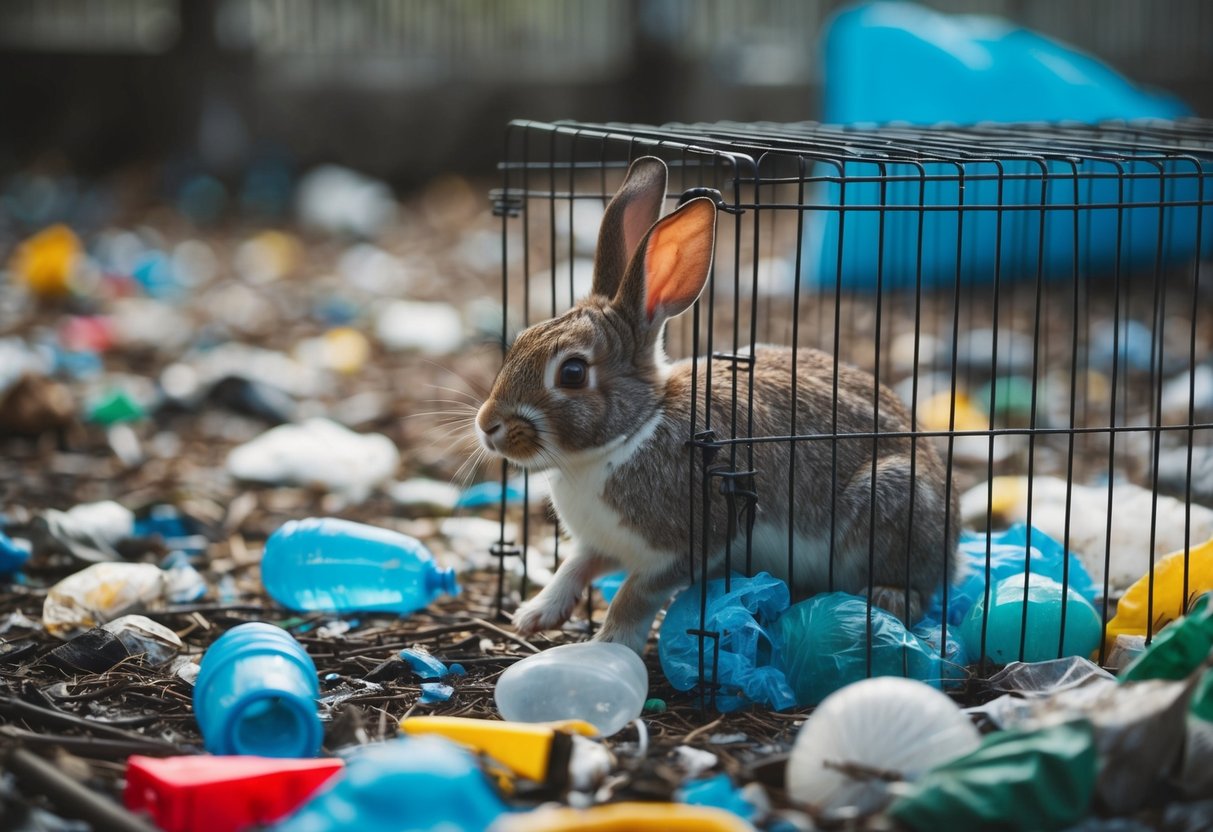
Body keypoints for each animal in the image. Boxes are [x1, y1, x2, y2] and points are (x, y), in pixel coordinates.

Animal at [475, 156, 960, 655]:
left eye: (572, 373)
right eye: (521, 340)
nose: (487, 425)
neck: (634, 430)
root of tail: (953, 539)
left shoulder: (691, 544)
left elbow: (634, 593)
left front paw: (610, 644)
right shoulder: (601, 542)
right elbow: (574, 566)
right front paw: (535, 614)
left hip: (891, 497)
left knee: (914, 590)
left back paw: (884, 597)